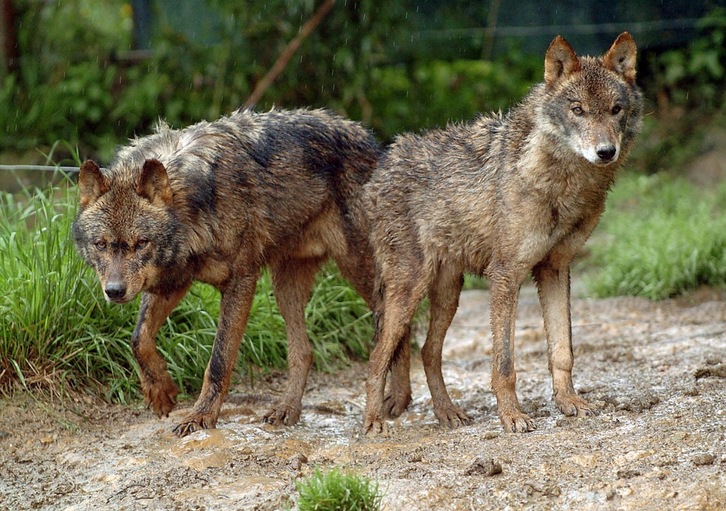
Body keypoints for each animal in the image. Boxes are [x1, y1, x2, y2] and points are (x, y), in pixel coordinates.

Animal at [72, 108, 413, 436]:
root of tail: (372, 141)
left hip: (361, 271)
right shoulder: (174, 281)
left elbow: (219, 361)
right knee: (304, 352)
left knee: (398, 326)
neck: (195, 203)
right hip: (285, 287)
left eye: (141, 243)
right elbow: (138, 339)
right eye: (101, 244)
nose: (114, 291)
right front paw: (162, 393)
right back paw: (287, 410)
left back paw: (398, 400)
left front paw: (201, 416)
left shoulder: (241, 281)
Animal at [363, 33, 643, 434]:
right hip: (408, 292)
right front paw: (512, 415)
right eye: (577, 110)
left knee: (427, 352)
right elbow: (505, 363)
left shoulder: (554, 268)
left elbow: (563, 350)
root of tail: (380, 168)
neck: (562, 184)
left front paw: (569, 403)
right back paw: (373, 422)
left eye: (616, 109)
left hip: (448, 294)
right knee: (377, 357)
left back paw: (447, 412)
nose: (606, 151)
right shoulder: (506, 274)